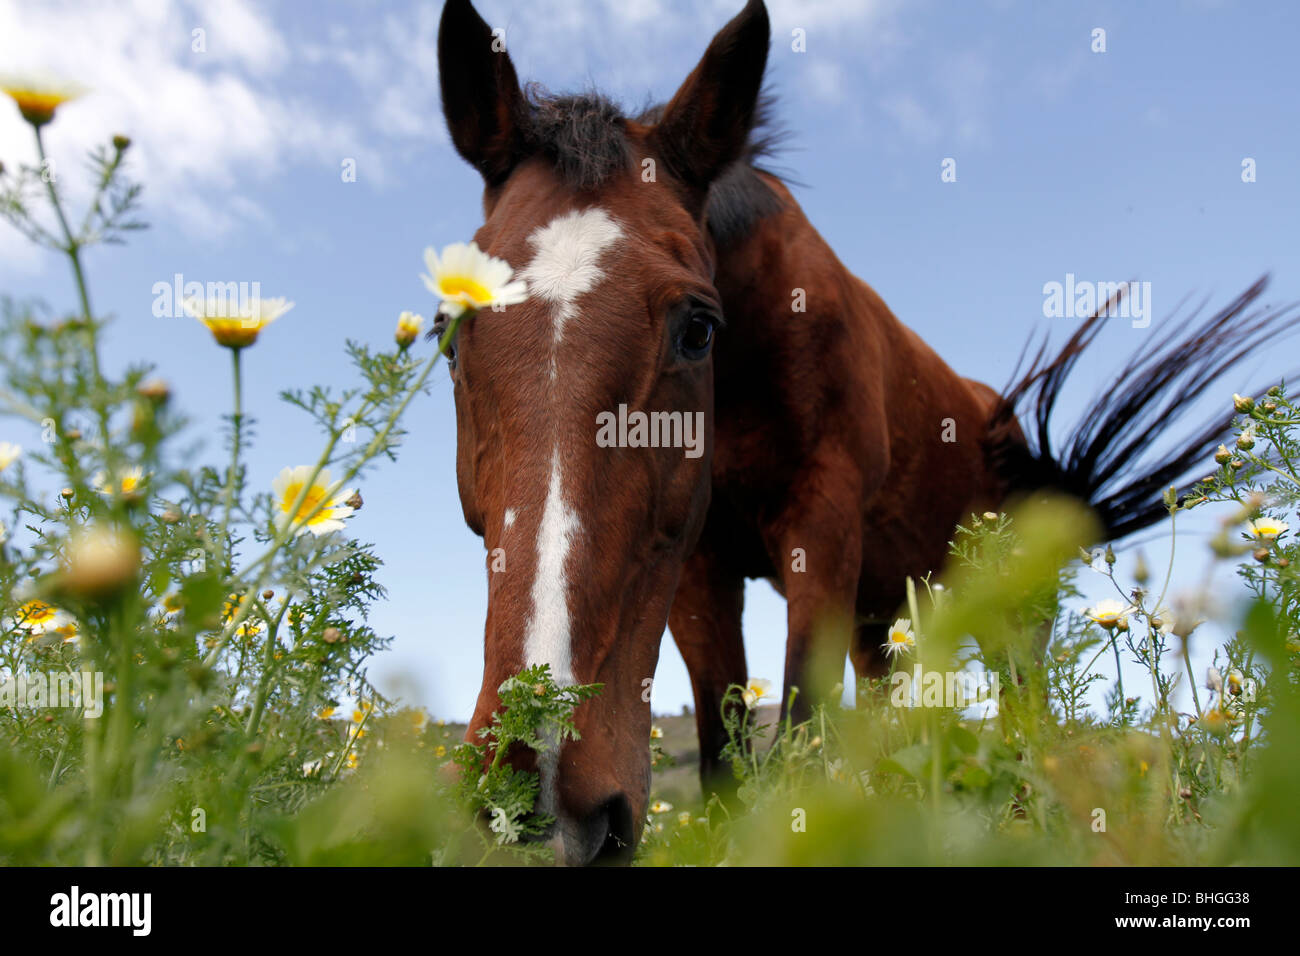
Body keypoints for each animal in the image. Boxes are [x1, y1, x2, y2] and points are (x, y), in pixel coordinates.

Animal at [435, 0, 1293, 864]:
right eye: (449, 329)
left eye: (698, 329)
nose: (537, 800)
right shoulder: (702, 564)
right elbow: (724, 757)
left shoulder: (822, 527)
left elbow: (799, 730)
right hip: (880, 624)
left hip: (1011, 623)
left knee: (1029, 725)